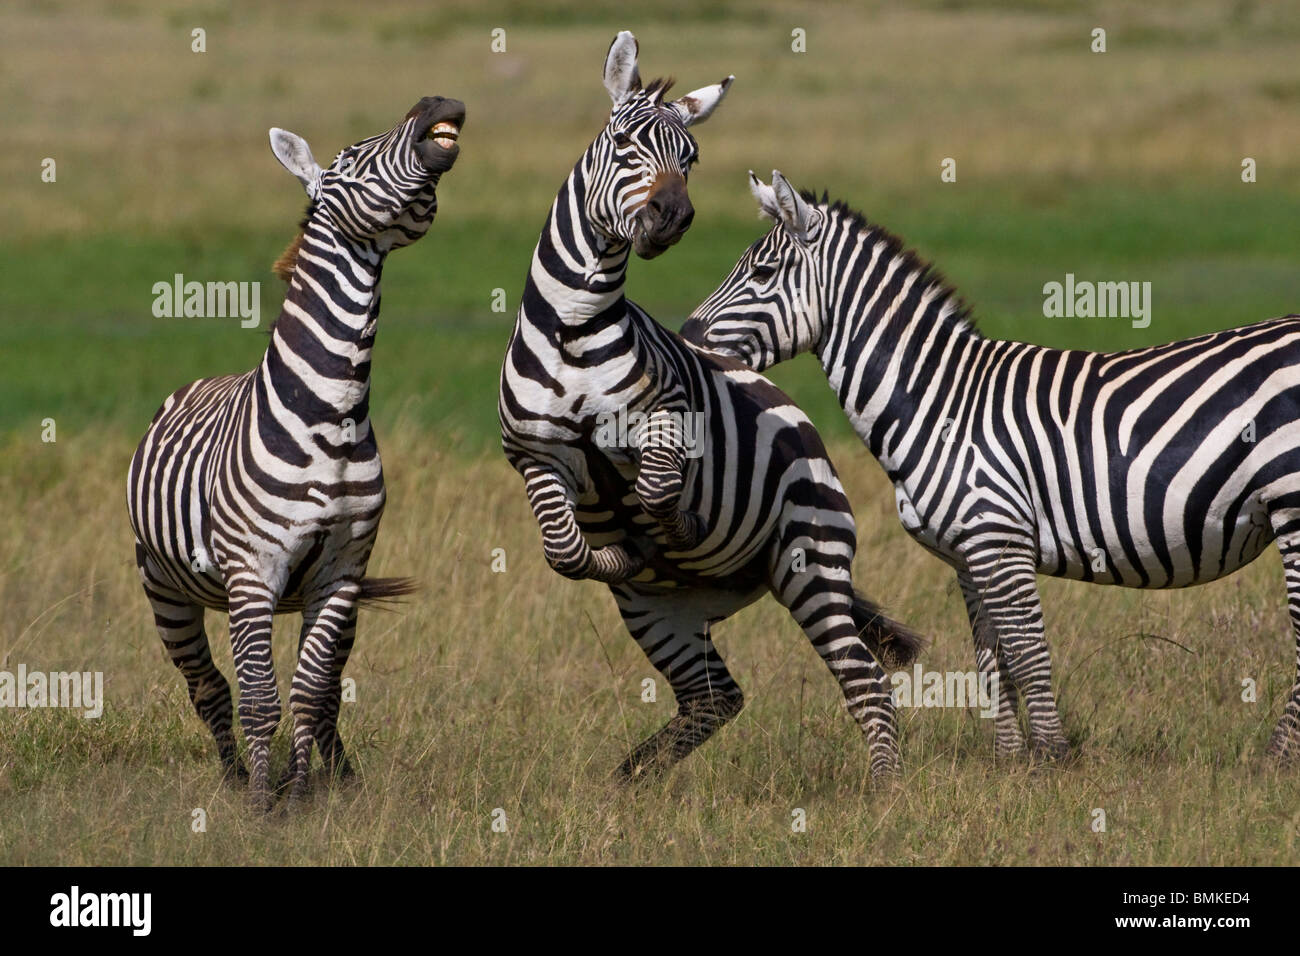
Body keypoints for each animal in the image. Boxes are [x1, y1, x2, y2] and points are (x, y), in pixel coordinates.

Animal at [127, 97, 466, 808]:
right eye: (352, 156)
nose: (440, 105)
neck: (331, 414)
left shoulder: (342, 572)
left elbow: (312, 694)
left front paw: (303, 791)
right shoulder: (254, 571)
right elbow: (259, 698)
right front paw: (262, 805)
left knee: (327, 690)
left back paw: (338, 774)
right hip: (164, 590)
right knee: (208, 689)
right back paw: (234, 779)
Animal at [498, 34, 922, 780]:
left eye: (691, 159)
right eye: (625, 142)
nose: (673, 216)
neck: (572, 328)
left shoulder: (669, 417)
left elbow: (658, 492)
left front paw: (680, 528)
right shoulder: (534, 453)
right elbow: (564, 551)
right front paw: (619, 553)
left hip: (811, 563)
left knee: (864, 681)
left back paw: (889, 789)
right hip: (658, 613)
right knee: (713, 697)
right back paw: (624, 784)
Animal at [681, 168, 1300, 762]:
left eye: (763, 271)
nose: (686, 338)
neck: (939, 403)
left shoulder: (999, 537)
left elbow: (1028, 654)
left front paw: (1051, 759)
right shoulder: (967, 554)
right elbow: (990, 661)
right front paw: (1008, 763)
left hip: (1290, 503)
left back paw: (1274, 760)